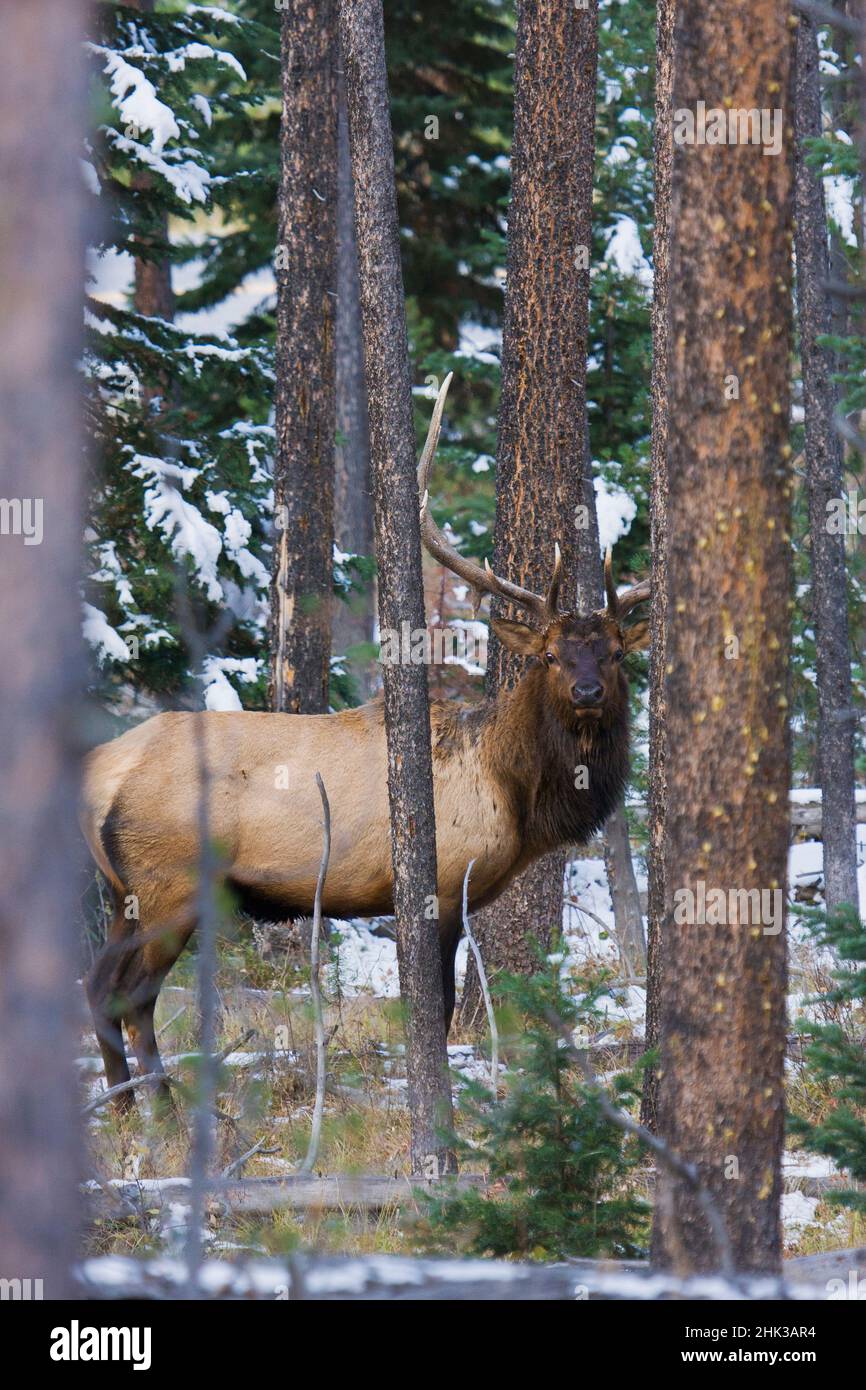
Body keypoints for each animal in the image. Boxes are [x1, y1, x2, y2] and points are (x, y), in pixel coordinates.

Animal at [81, 377, 650, 1111]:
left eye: (614, 653)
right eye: (551, 654)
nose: (586, 691)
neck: (517, 790)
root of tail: (99, 772)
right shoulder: (442, 883)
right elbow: (435, 1012)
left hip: (124, 887)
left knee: (98, 988)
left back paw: (125, 1109)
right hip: (169, 881)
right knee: (134, 995)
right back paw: (165, 1113)